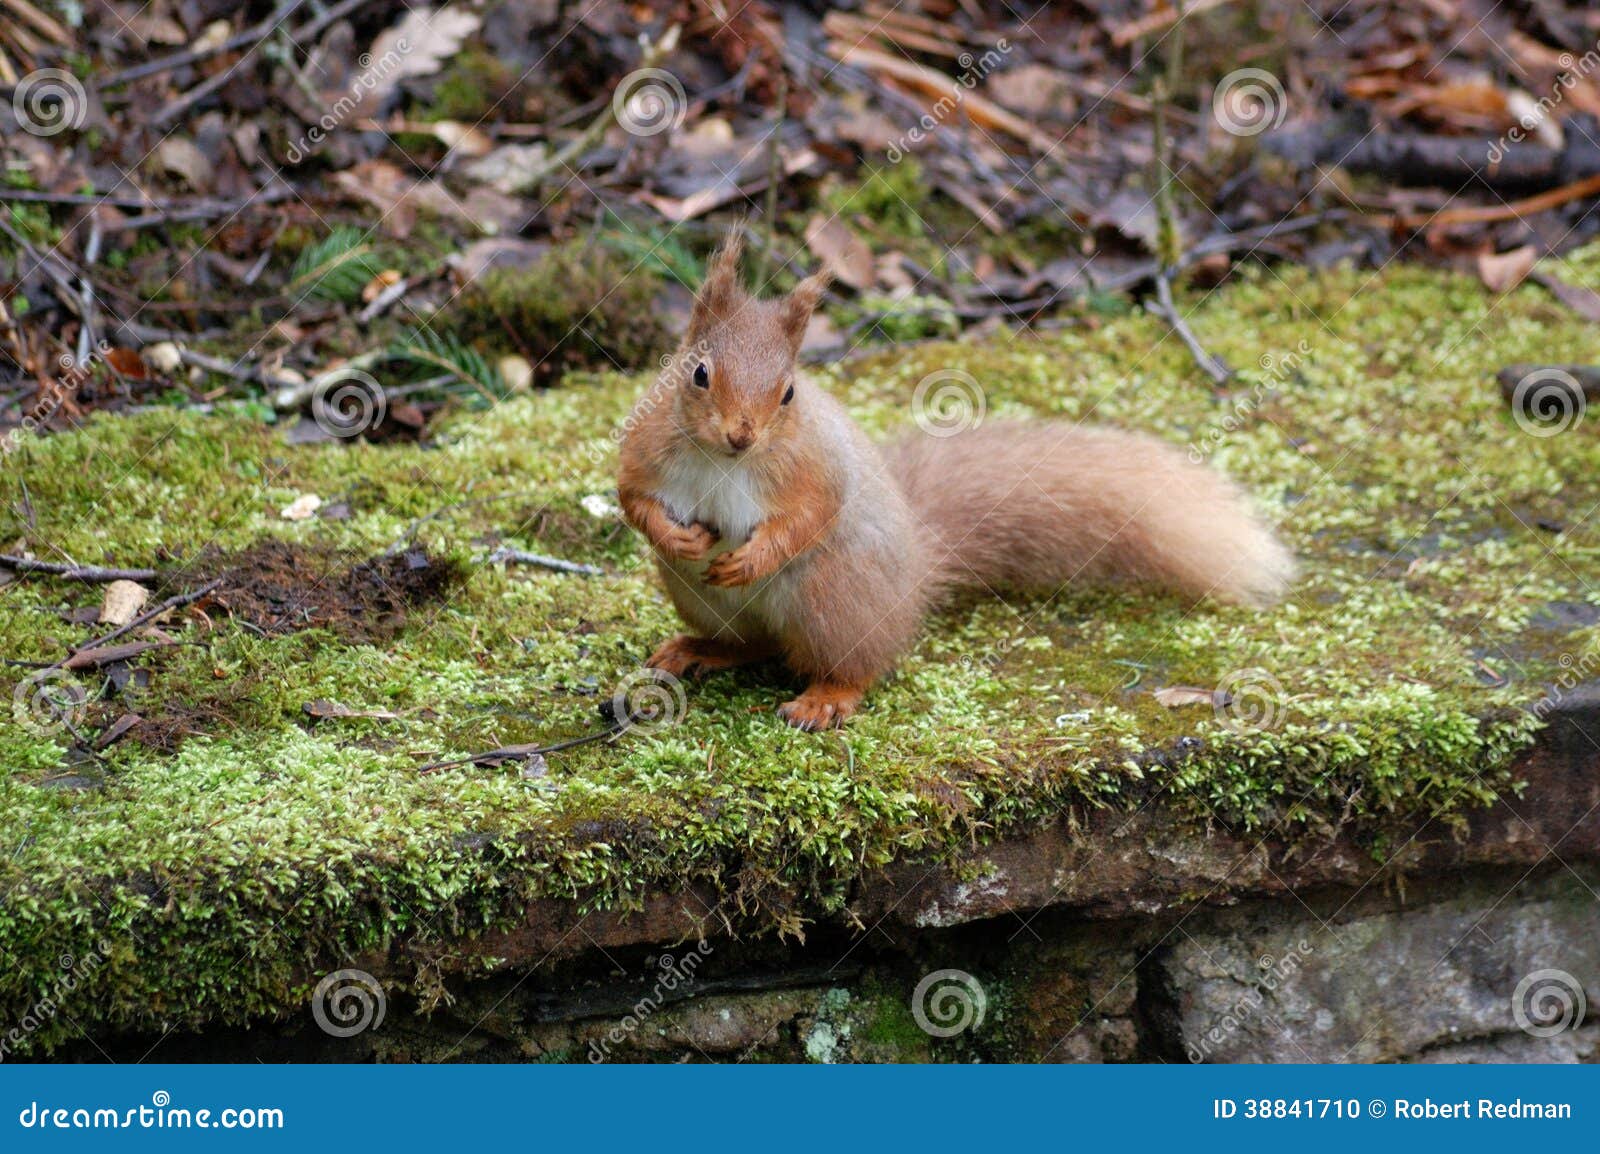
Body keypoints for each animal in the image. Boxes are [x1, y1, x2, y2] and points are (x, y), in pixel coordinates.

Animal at [617, 230, 1296, 730]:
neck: (723, 461)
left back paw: (825, 697)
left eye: (788, 394)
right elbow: (633, 499)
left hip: (833, 599)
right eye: (699, 373)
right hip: (698, 595)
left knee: (853, 665)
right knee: (755, 644)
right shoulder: (643, 446)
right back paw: (701, 649)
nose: (743, 435)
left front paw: (755, 556)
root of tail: (916, 579)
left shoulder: (814, 464)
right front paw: (675, 535)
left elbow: (816, 512)